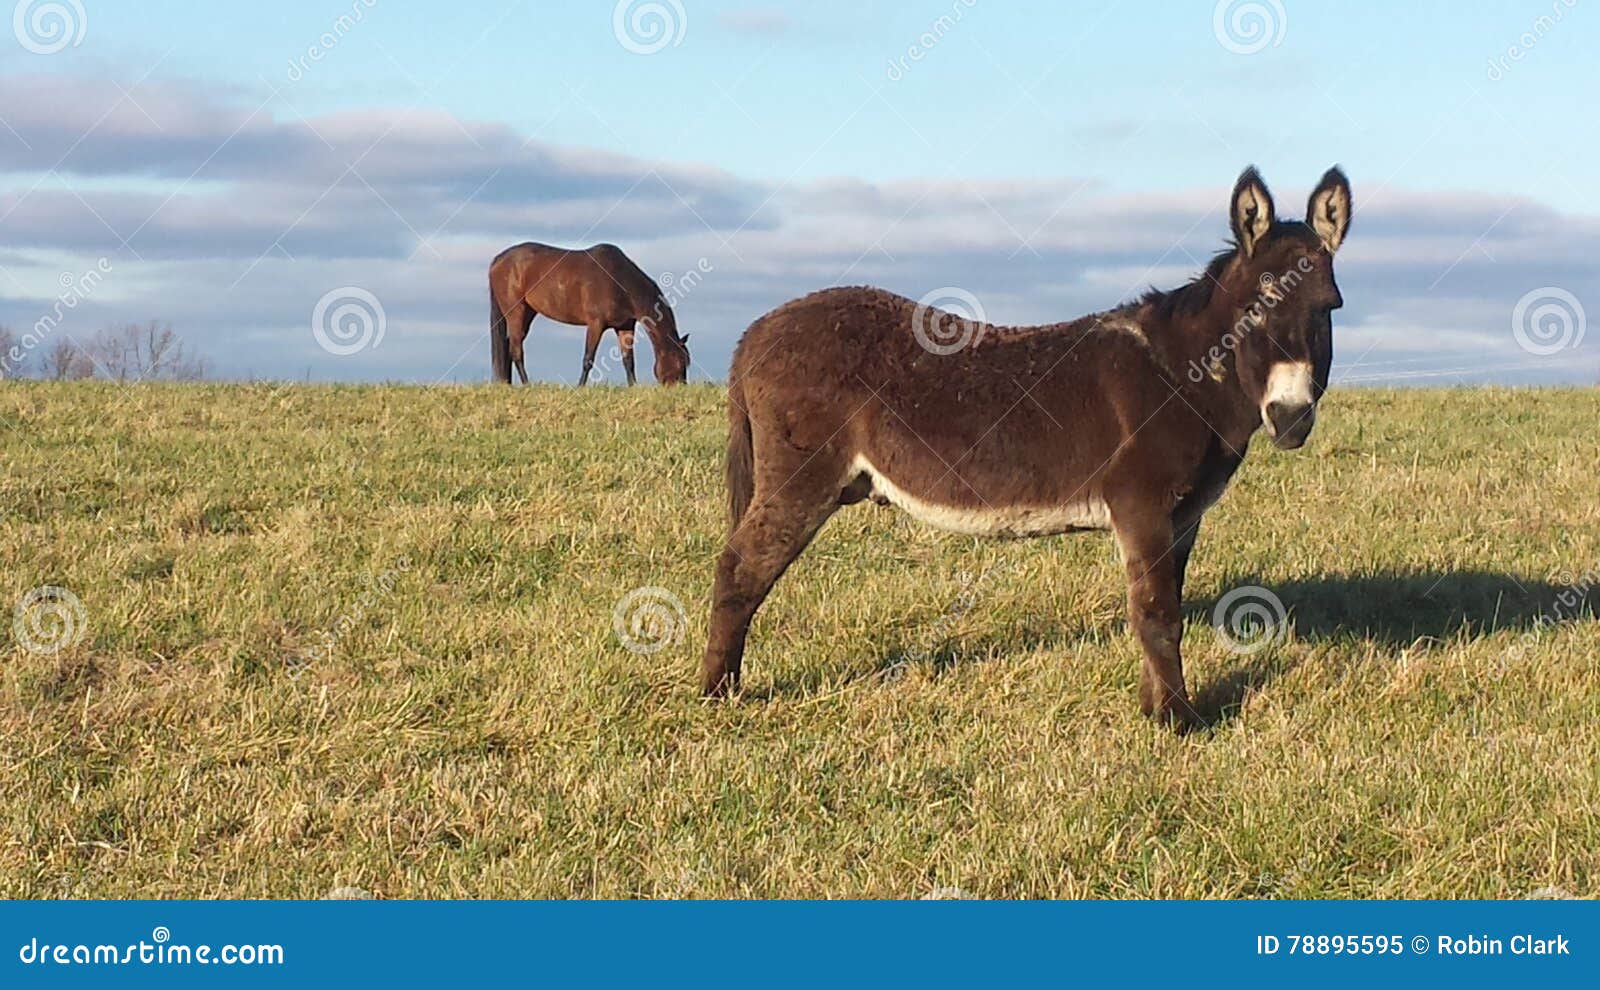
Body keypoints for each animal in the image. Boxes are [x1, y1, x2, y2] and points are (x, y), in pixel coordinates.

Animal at [488, 242, 691, 386]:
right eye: (681, 362)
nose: (680, 388)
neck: (619, 281)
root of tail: (498, 260)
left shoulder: (625, 327)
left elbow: (628, 360)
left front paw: (633, 386)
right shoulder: (595, 324)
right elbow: (588, 359)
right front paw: (580, 386)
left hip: (527, 312)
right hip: (516, 311)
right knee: (516, 350)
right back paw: (527, 384)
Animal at [701, 167, 1352, 731]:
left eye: (1329, 309)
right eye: (1255, 307)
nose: (1291, 420)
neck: (1181, 372)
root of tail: (753, 332)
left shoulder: (1182, 516)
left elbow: (1160, 604)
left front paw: (1156, 708)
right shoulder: (1140, 505)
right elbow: (1157, 614)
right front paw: (1178, 723)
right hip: (803, 478)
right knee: (740, 569)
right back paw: (717, 695)